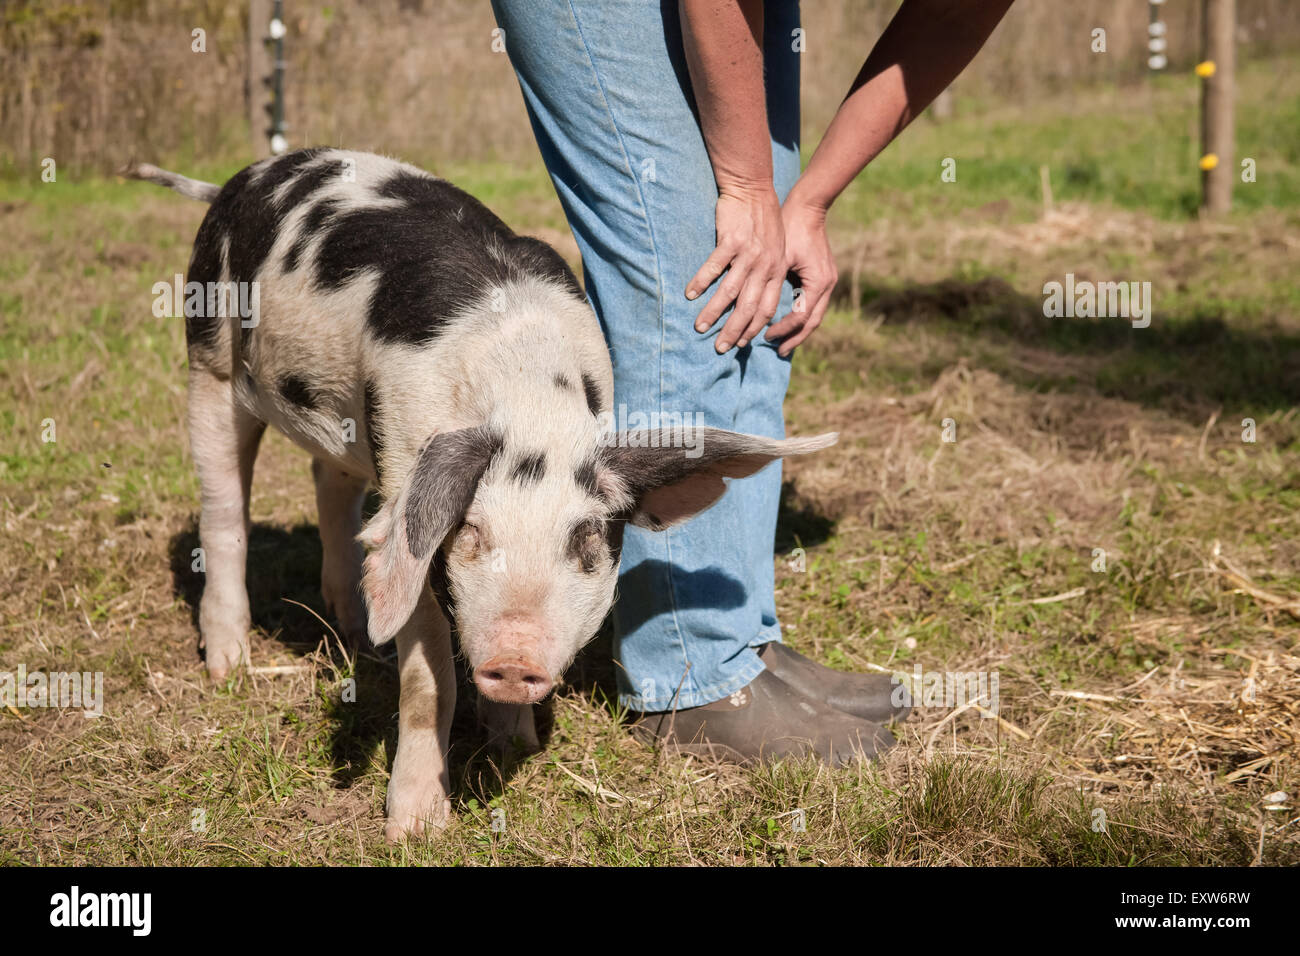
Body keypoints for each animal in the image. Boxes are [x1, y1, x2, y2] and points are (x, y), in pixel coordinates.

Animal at [127, 148, 835, 840]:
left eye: (587, 537)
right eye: (470, 531)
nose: (515, 658)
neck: (529, 401)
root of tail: (238, 181)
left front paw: (515, 747)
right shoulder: (410, 487)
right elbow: (427, 677)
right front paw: (416, 828)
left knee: (332, 487)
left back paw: (356, 633)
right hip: (209, 359)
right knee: (223, 513)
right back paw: (229, 666)